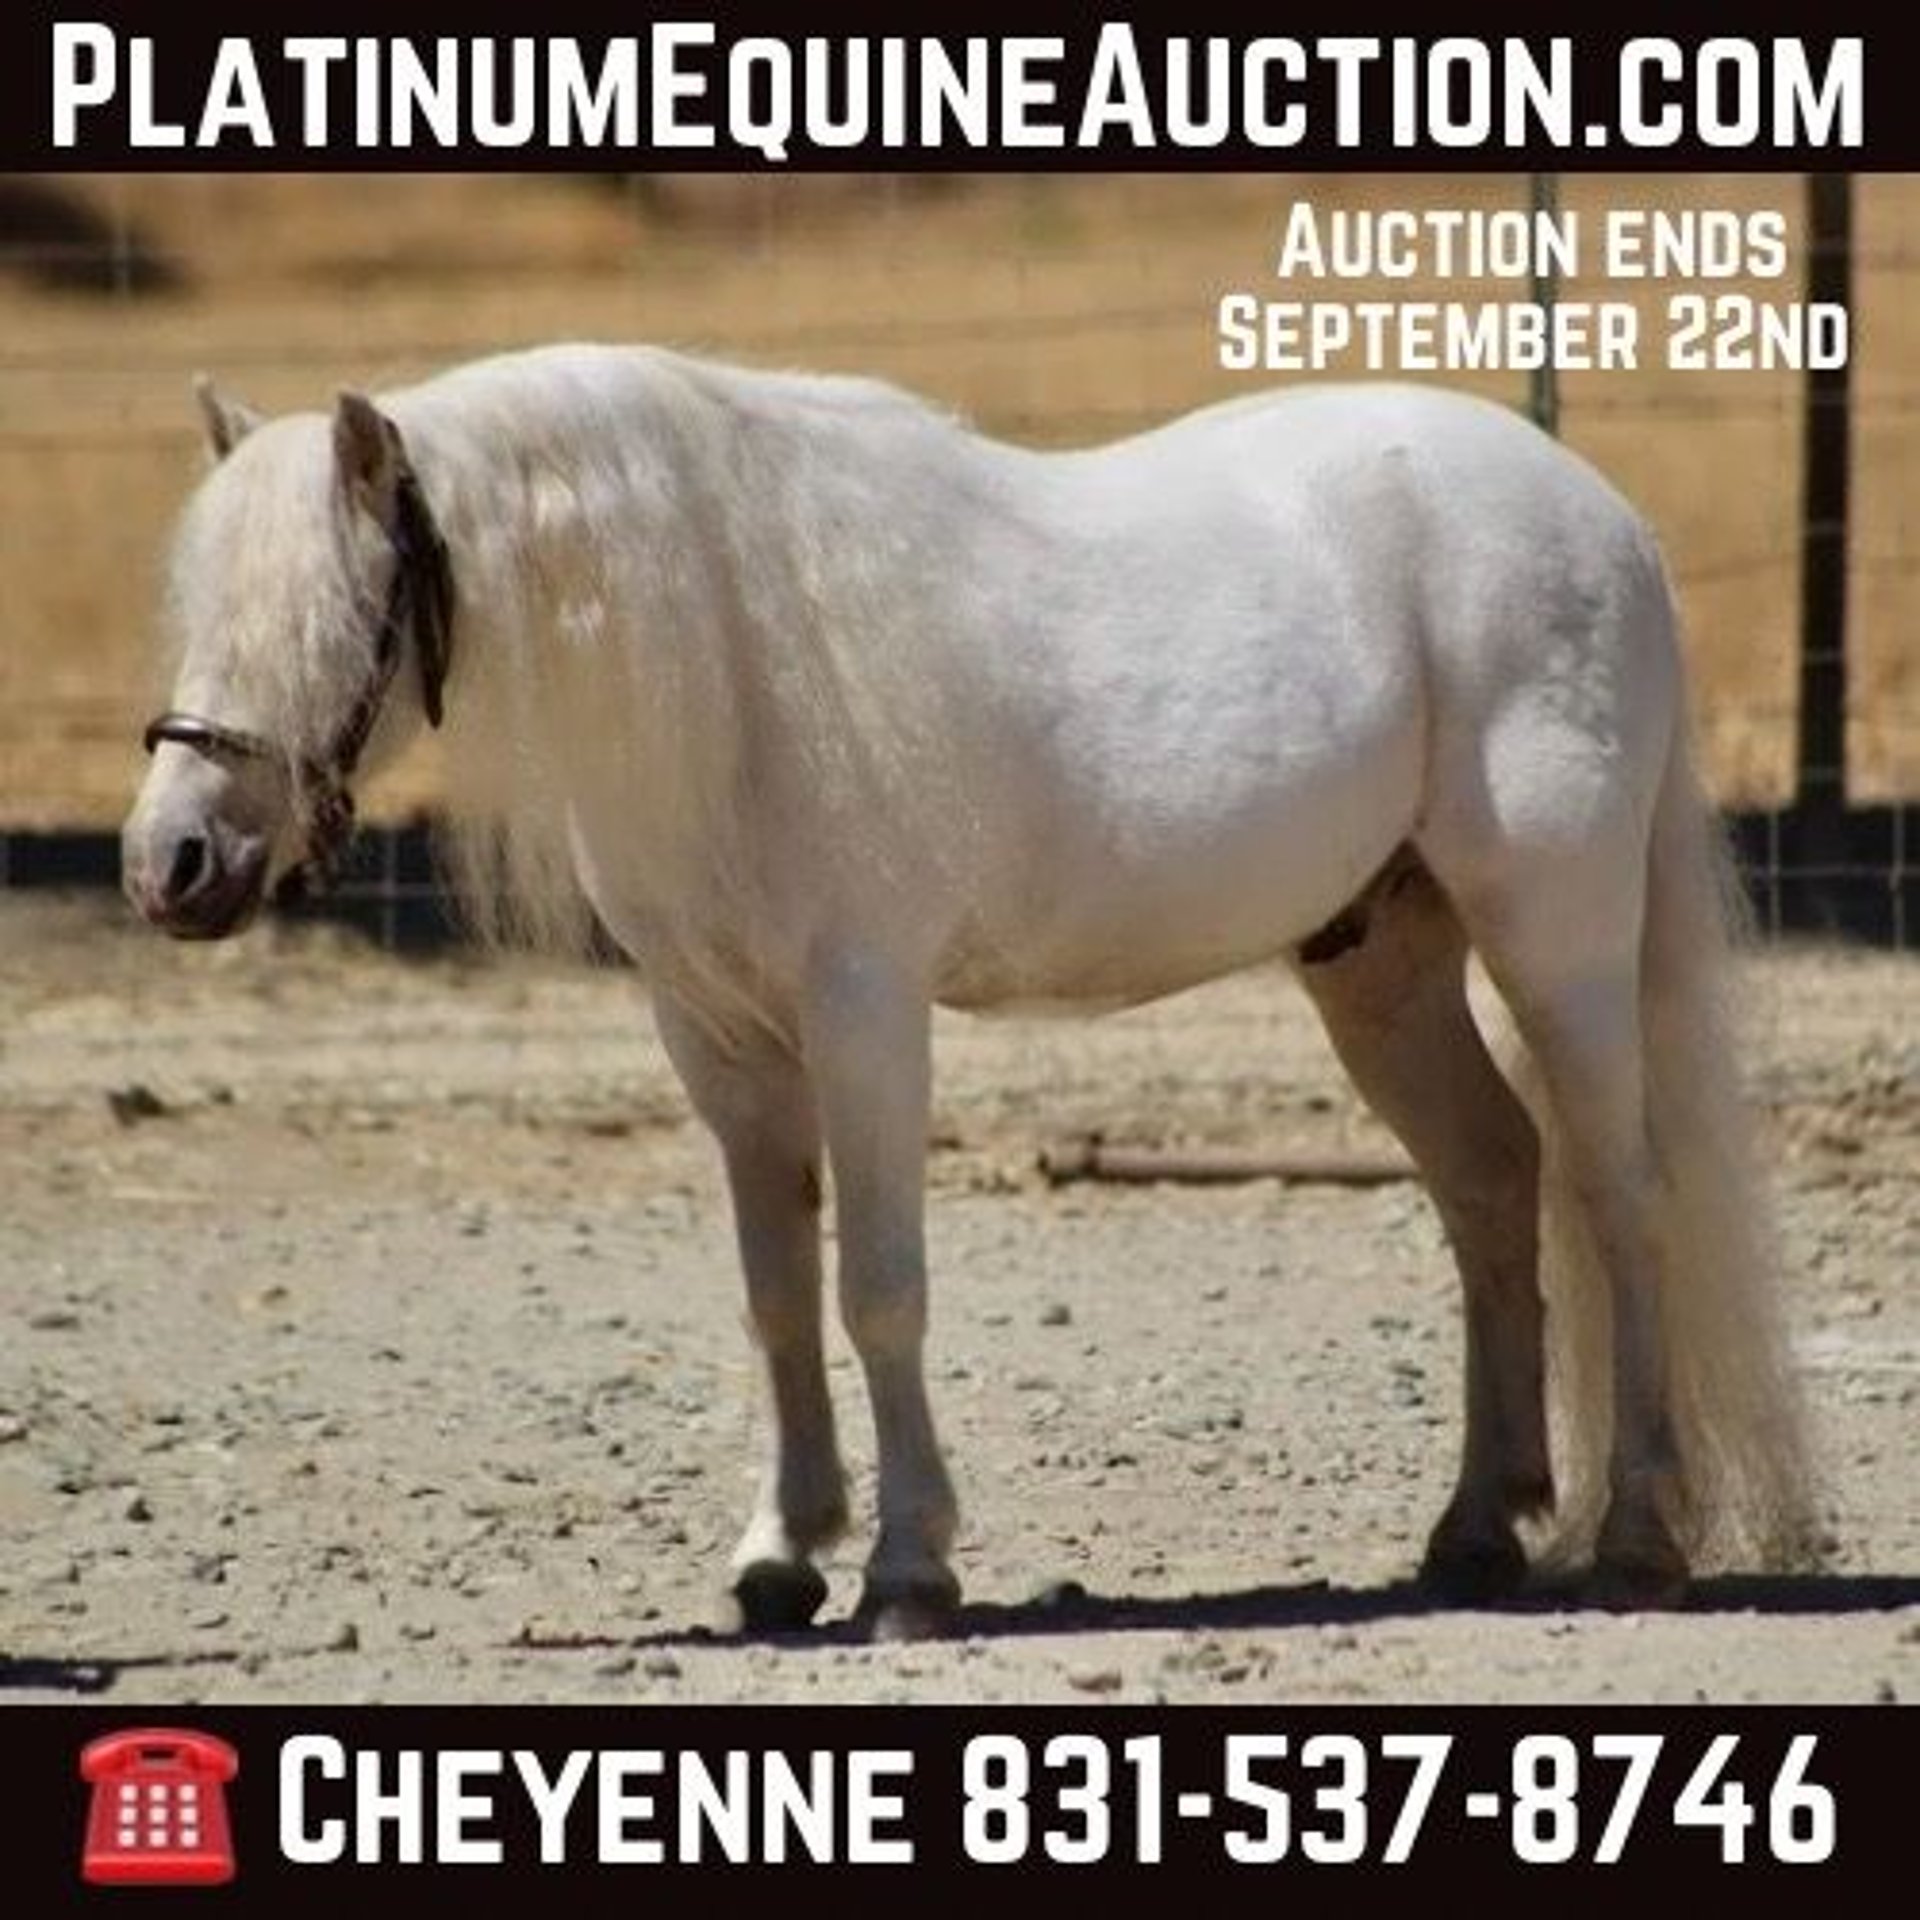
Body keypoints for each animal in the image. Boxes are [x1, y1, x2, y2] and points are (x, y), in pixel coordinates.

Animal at [122, 344, 1815, 1638]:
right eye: (198, 607)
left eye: (336, 617)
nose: (171, 864)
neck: (743, 667)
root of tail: (1600, 517)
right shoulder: (721, 1041)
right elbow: (775, 1296)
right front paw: (777, 1559)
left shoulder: (866, 1013)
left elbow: (878, 1286)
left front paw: (906, 1573)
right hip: (1383, 964)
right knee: (1490, 1184)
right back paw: (1478, 1529)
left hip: (1558, 935)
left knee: (1621, 1194)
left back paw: (1639, 1538)